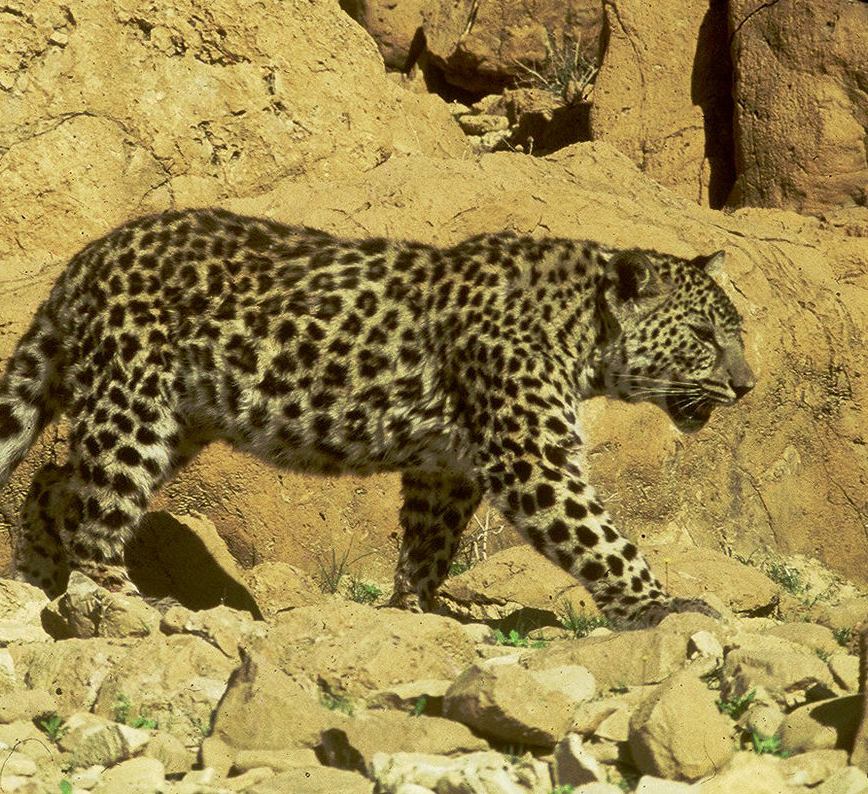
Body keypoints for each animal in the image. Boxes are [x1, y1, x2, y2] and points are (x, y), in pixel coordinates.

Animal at [0, 207, 754, 628]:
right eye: (704, 336)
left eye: (735, 333)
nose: (746, 385)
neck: (582, 330)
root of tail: (84, 261)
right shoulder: (530, 459)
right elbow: (602, 540)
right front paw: (661, 608)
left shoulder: (447, 470)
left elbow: (429, 544)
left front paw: (416, 610)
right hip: (135, 409)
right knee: (95, 514)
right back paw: (129, 605)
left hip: (175, 421)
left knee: (55, 481)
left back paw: (39, 580)